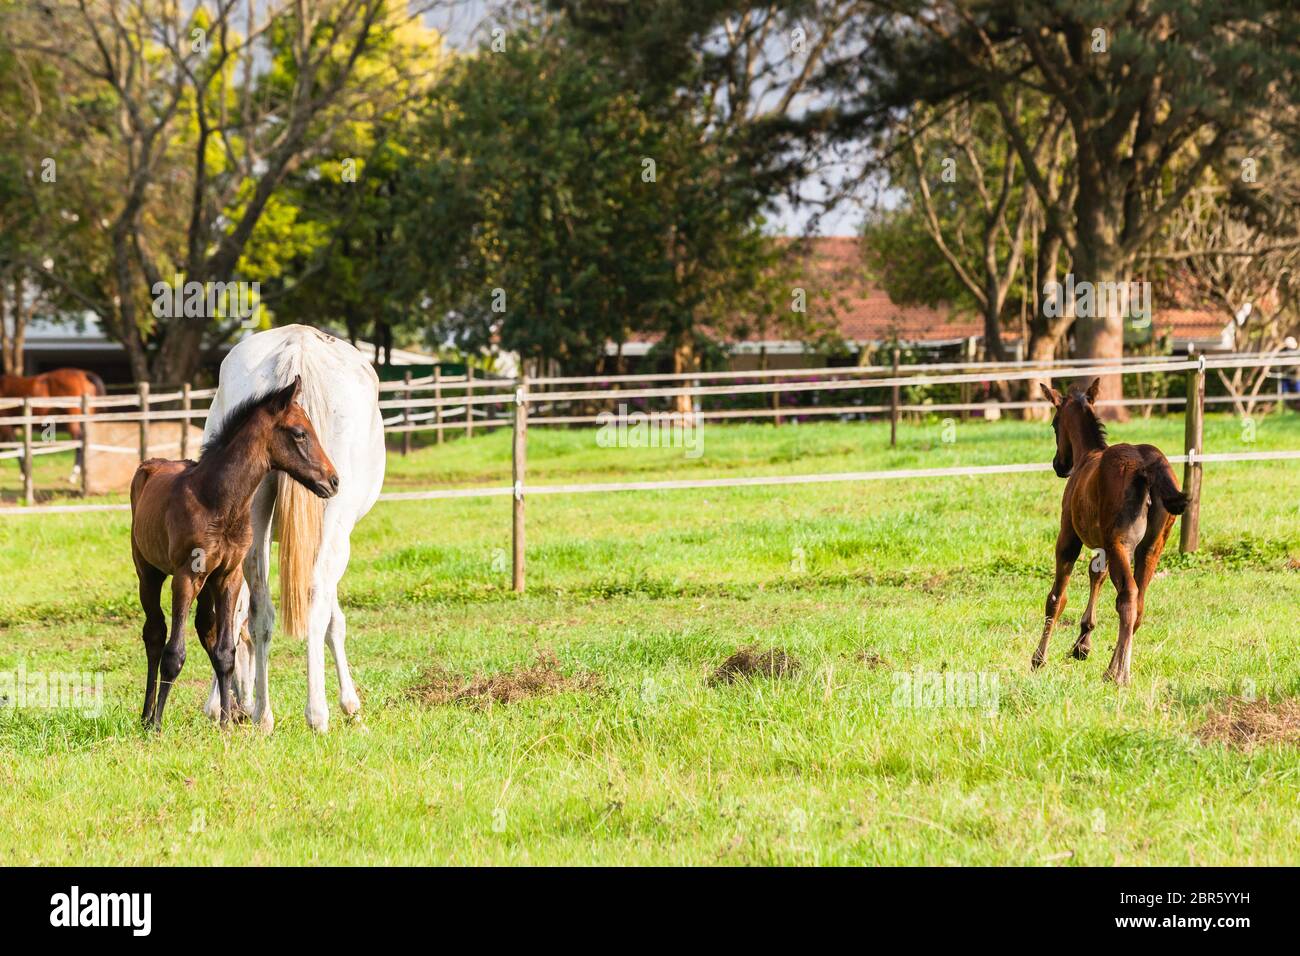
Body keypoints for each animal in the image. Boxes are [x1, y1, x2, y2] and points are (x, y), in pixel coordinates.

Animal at [130, 376, 339, 729]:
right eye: (300, 432)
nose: (333, 480)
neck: (217, 501)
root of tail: (150, 464)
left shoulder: (228, 576)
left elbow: (225, 651)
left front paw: (226, 723)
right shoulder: (186, 576)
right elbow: (174, 653)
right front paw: (158, 725)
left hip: (206, 585)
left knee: (206, 630)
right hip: (150, 573)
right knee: (155, 634)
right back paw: (146, 717)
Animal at [201, 325, 385, 732]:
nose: (238, 709)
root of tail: (297, 349)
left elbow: (234, 615)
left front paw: (221, 705)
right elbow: (334, 620)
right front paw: (351, 704)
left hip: (255, 512)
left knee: (260, 609)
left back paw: (263, 715)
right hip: (334, 518)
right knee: (315, 600)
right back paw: (316, 713)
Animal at [1032, 379, 1188, 685]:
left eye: (1055, 424)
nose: (1059, 465)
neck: (1087, 457)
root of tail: (1147, 466)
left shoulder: (1068, 537)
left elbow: (1056, 598)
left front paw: (1039, 658)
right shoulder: (1103, 546)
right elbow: (1097, 574)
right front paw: (1082, 644)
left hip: (1121, 544)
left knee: (1127, 597)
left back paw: (1116, 674)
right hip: (1151, 548)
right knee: (1138, 603)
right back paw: (1117, 667)